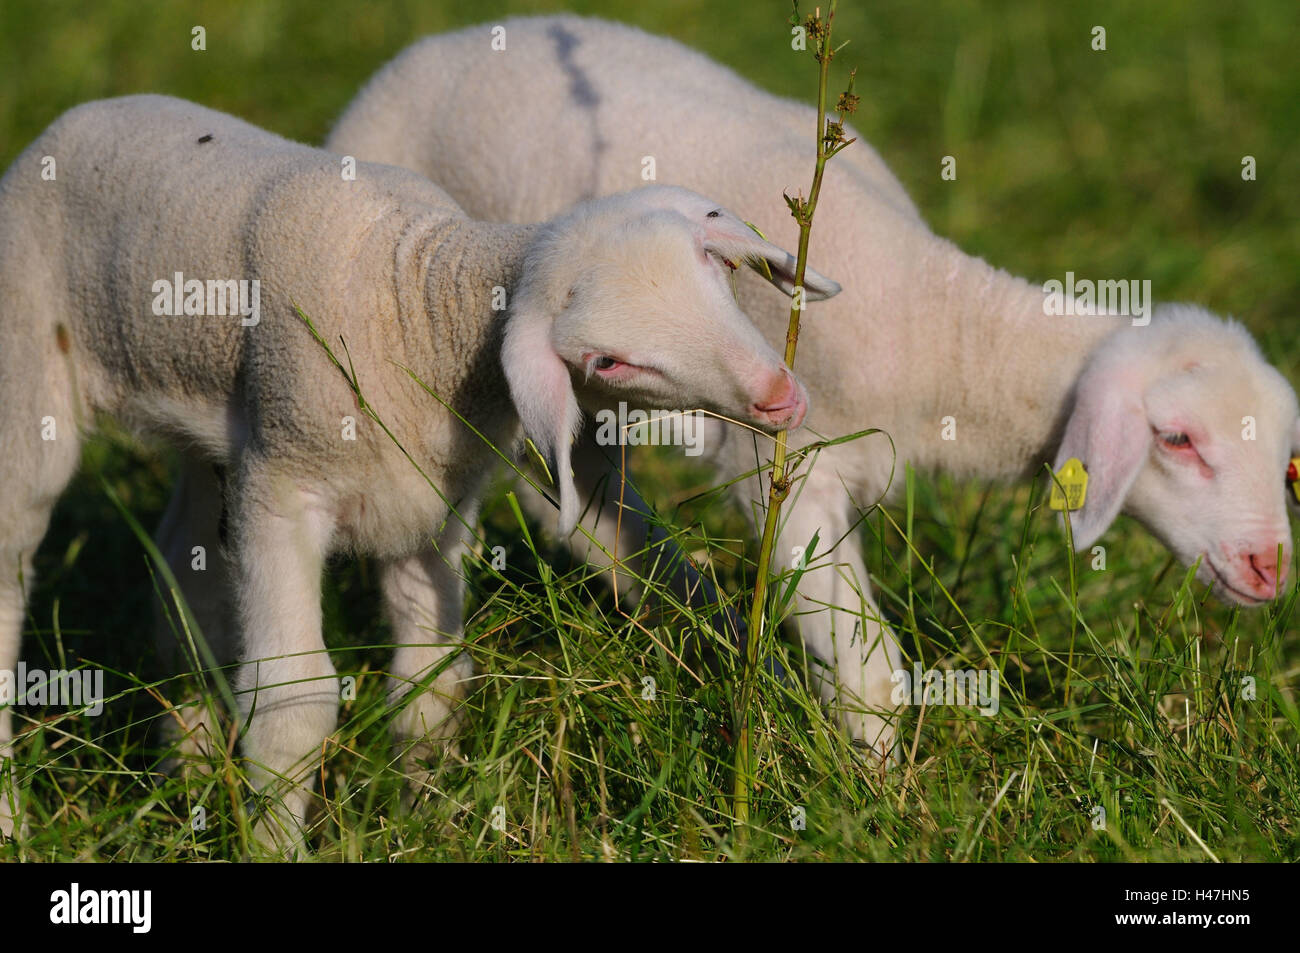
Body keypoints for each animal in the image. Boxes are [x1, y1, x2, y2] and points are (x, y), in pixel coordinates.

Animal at [0, 94, 839, 845]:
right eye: (609, 360)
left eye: (713, 272)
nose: (781, 396)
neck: (419, 296)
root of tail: (72, 119)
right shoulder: (282, 486)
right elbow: (295, 702)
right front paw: (276, 841)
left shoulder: (429, 508)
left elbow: (430, 684)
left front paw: (424, 818)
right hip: (32, 385)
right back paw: (18, 817)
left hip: (204, 428)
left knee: (185, 570)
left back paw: (190, 763)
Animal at [309, 14, 1300, 758]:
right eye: (1177, 439)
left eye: (1286, 457)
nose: (1270, 568)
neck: (939, 330)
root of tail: (429, 46)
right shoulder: (785, 467)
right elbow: (870, 671)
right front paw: (877, 791)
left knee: (585, 507)